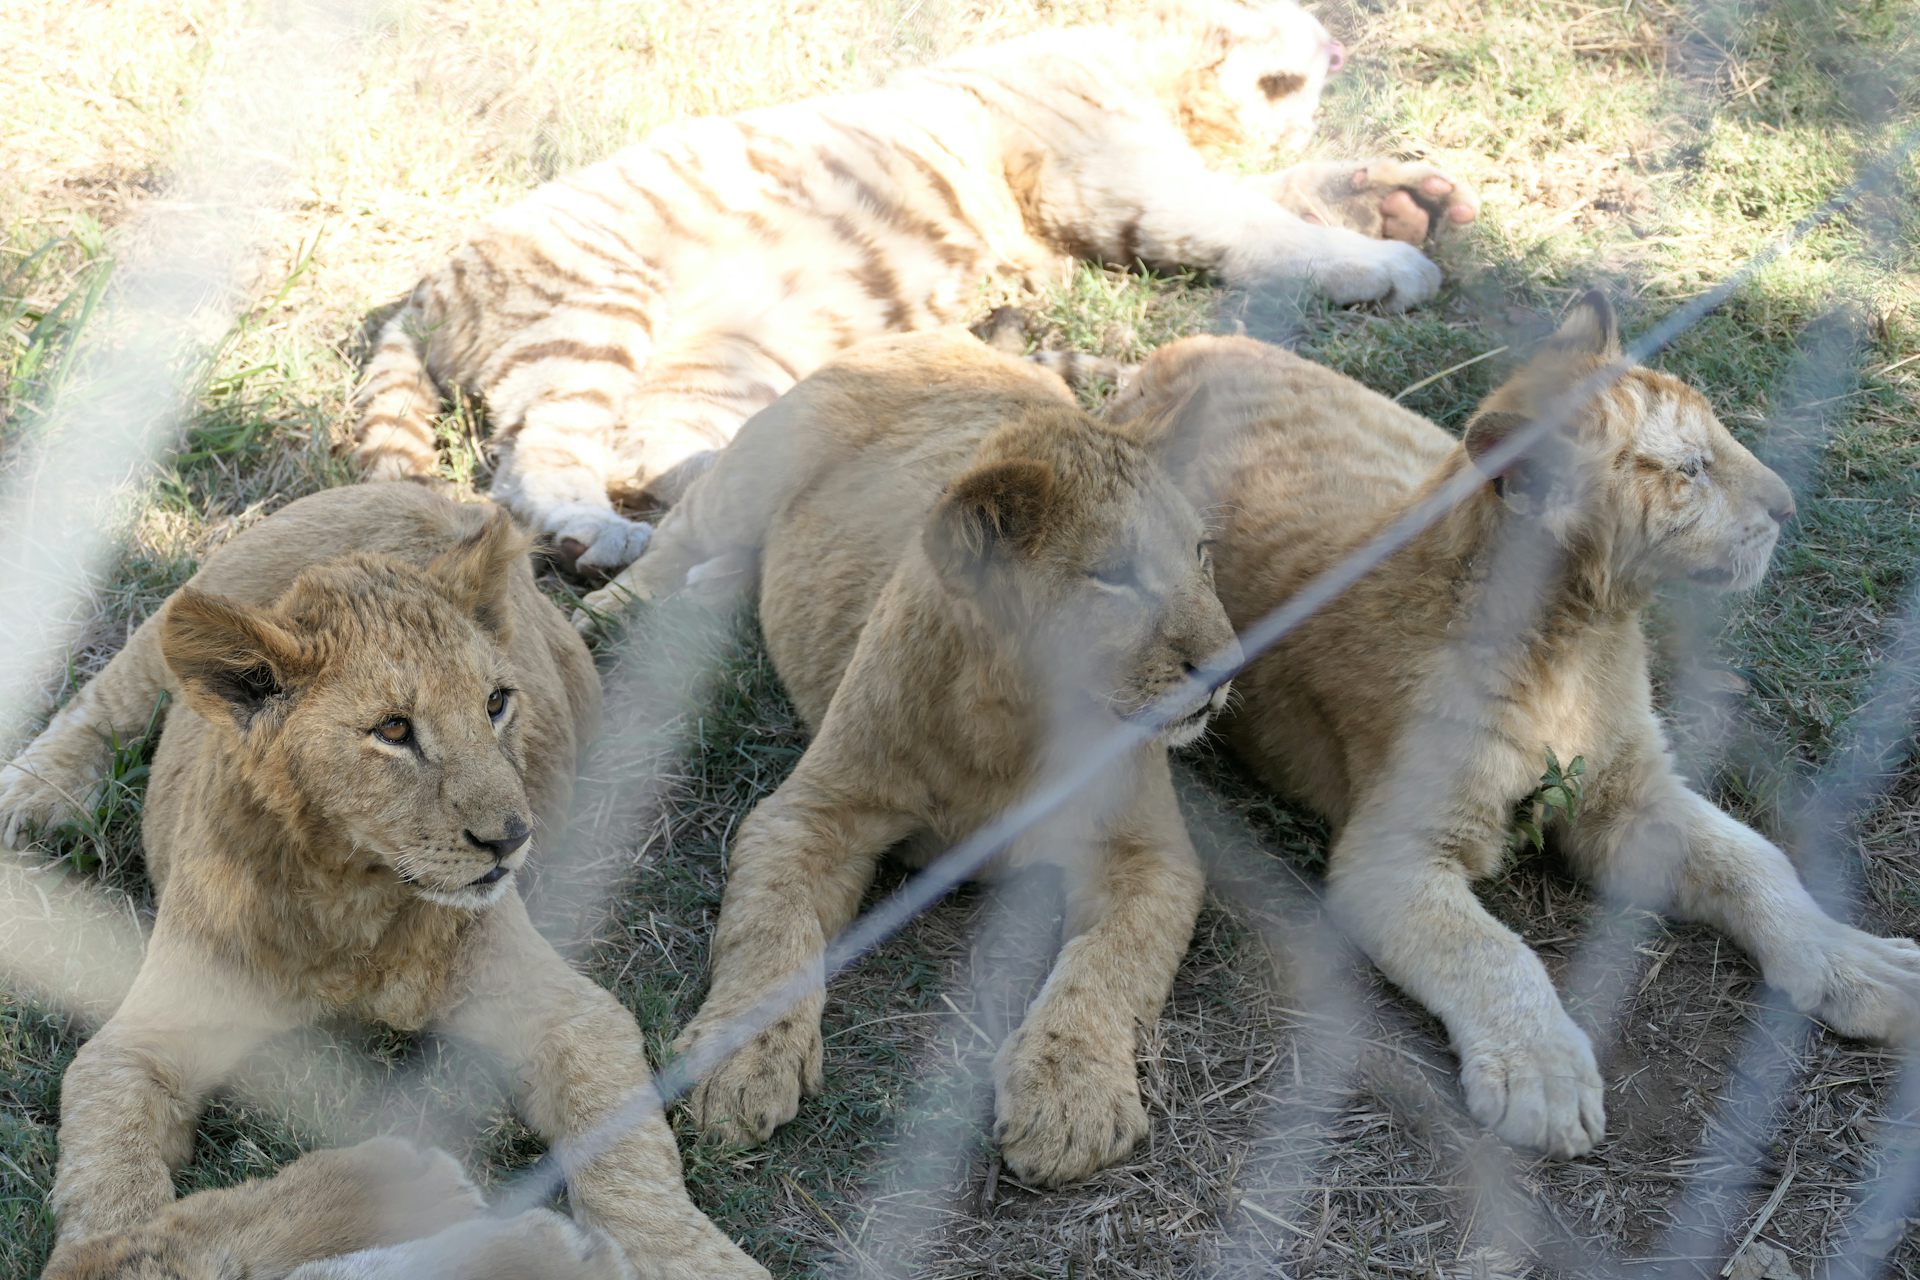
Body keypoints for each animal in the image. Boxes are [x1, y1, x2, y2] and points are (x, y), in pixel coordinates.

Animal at [0, 484, 765, 1279]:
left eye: (496, 703)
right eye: (394, 730)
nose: (510, 839)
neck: (353, 897)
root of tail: (424, 494)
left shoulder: (569, 1014)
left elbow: (626, 1155)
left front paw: (692, 1259)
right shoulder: (139, 1044)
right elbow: (114, 1187)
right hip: (177, 619)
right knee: (105, 697)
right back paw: (31, 795)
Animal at [578, 329, 1240, 1186]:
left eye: (1202, 554)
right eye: (1115, 578)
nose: (1227, 669)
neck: (1016, 724)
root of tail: (948, 335)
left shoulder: (1154, 857)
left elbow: (1112, 962)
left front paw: (1071, 1099)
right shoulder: (808, 814)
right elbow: (771, 930)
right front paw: (736, 1068)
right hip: (754, 467)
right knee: (679, 533)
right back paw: (614, 608)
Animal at [1106, 295, 1920, 1156]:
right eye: (1688, 469)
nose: (1788, 507)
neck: (1581, 634)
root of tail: (1182, 345)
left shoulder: (1637, 792)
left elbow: (1756, 863)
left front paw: (1862, 965)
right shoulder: (1392, 854)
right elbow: (1494, 952)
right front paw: (1545, 1075)